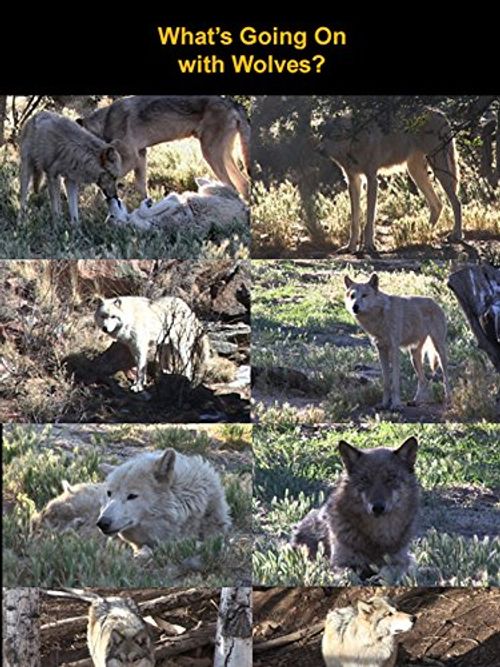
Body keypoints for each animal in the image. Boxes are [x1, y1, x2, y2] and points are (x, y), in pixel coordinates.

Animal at [77, 96, 251, 197]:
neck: (105, 121)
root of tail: (234, 103)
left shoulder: (132, 158)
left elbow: (108, 181)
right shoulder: (141, 156)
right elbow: (141, 187)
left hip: (210, 153)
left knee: (232, 186)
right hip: (222, 154)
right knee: (243, 183)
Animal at [291, 437, 420, 579]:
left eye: (390, 478)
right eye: (365, 479)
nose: (377, 507)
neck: (377, 535)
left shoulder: (402, 561)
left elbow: (390, 571)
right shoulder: (340, 564)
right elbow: (349, 576)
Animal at [319, 106, 462, 251]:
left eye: (335, 136)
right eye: (323, 136)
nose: (319, 149)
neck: (356, 143)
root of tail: (441, 114)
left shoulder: (372, 179)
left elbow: (369, 218)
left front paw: (369, 245)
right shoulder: (353, 181)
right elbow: (354, 221)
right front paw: (350, 247)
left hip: (439, 170)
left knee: (456, 203)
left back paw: (456, 235)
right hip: (415, 172)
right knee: (438, 205)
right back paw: (422, 232)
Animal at [344, 273, 450, 409]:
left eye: (364, 295)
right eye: (352, 296)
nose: (355, 307)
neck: (379, 317)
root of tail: (435, 302)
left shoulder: (394, 350)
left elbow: (395, 382)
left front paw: (395, 404)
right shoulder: (381, 350)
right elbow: (386, 382)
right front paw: (384, 404)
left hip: (439, 350)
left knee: (445, 378)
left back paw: (448, 399)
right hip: (413, 356)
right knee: (424, 381)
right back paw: (416, 401)